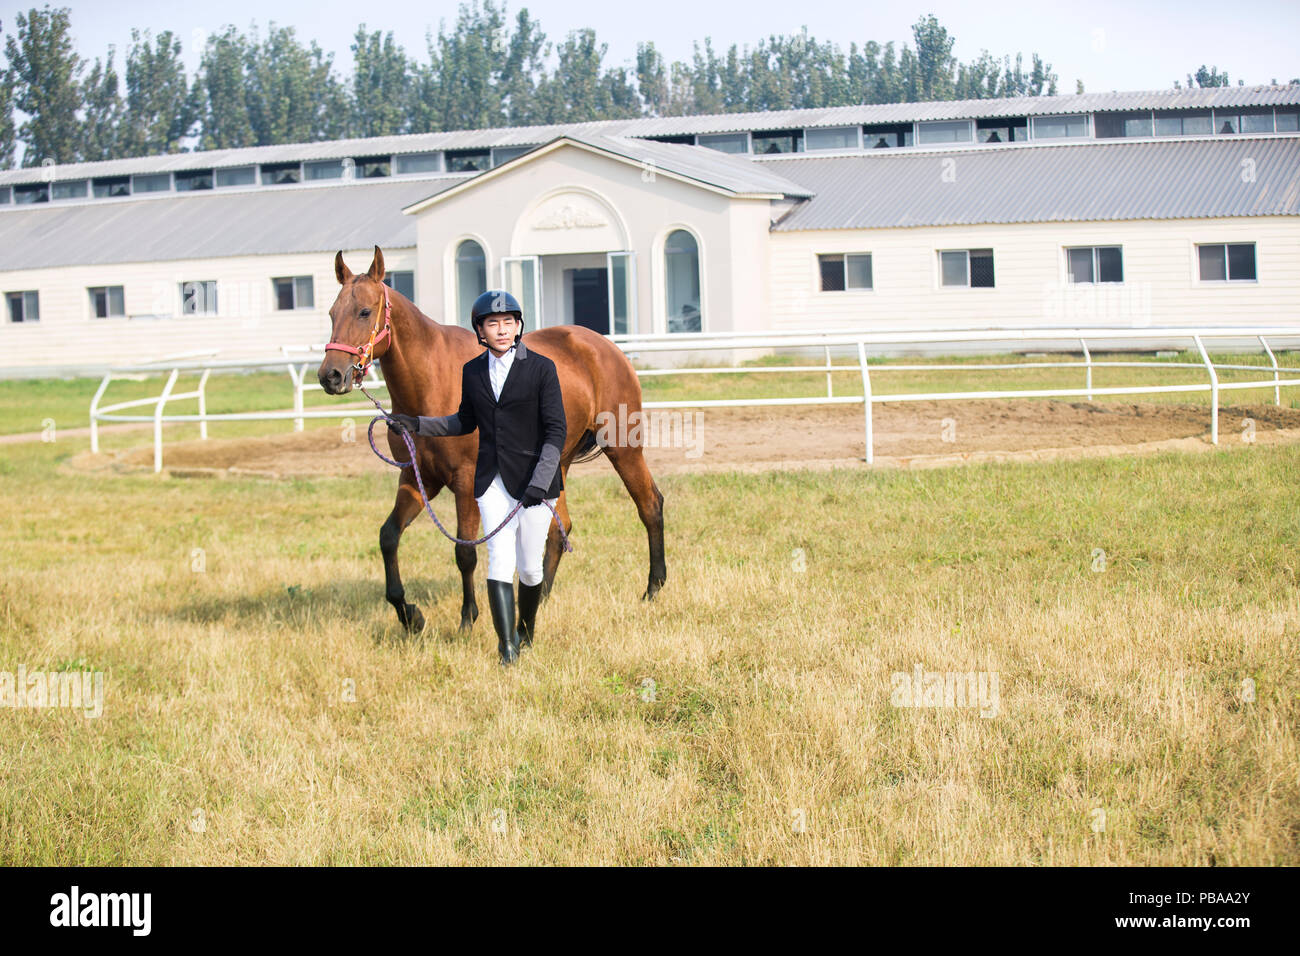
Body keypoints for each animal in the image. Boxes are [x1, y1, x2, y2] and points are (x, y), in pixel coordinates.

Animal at [317, 246, 666, 634]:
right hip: (553, 465)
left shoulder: (467, 480)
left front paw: (467, 619)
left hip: (623, 448)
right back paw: (538, 598)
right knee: (557, 529)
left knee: (649, 505)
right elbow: (388, 537)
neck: (433, 380)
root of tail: (606, 347)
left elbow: (465, 551)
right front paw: (410, 615)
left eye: (364, 311)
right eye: (332, 313)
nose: (331, 375)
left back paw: (653, 589)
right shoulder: (416, 478)